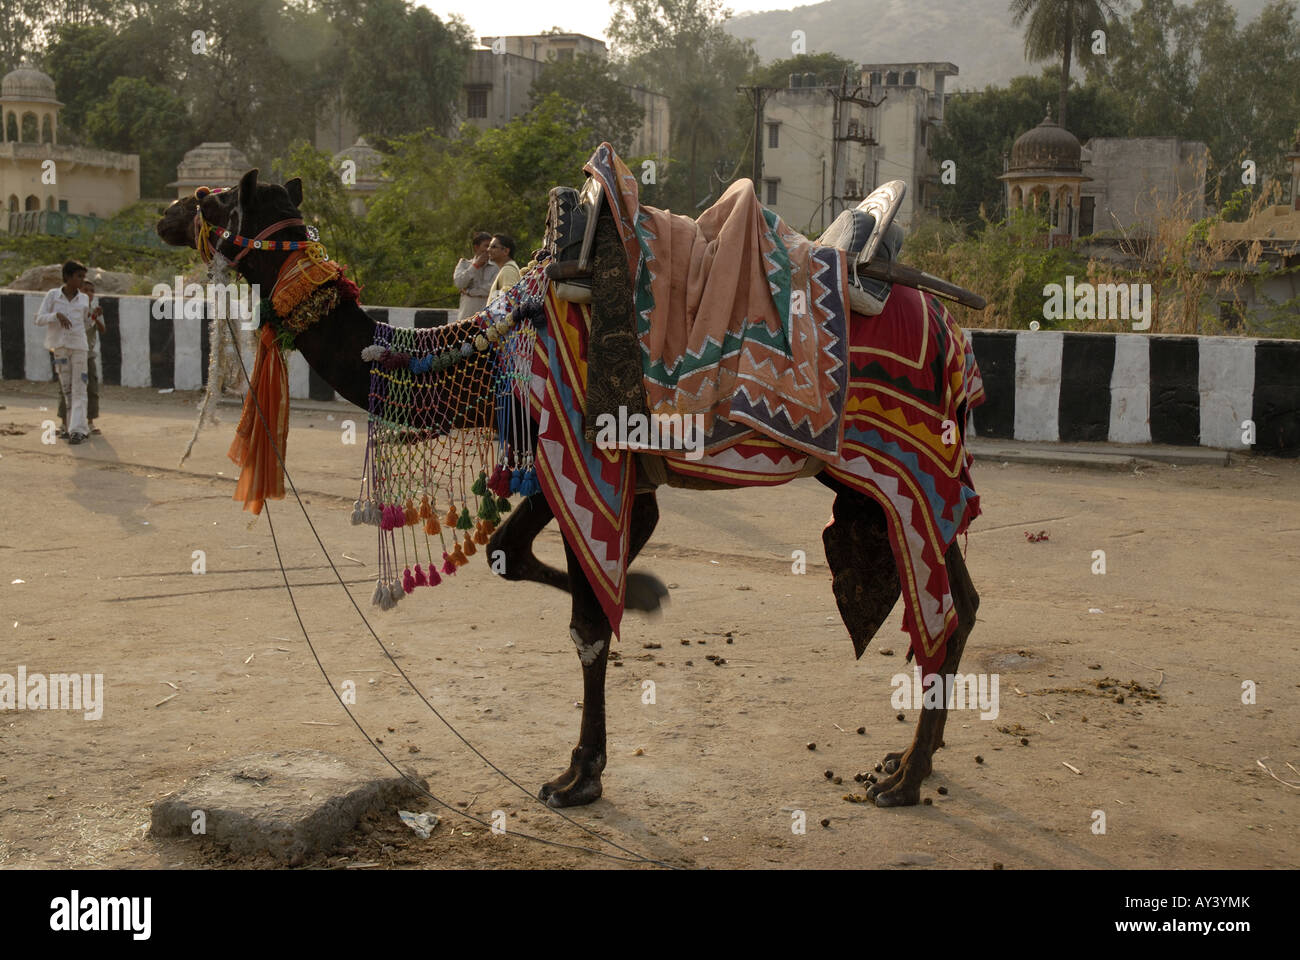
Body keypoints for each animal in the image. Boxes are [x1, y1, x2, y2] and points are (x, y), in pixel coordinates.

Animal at [155, 169, 982, 810]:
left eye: (218, 199)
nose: (166, 211)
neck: (490, 357)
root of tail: (956, 337)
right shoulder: (584, 476)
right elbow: (514, 559)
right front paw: (640, 604)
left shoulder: (591, 461)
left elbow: (587, 618)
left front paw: (578, 776)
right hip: (884, 486)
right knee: (962, 600)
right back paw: (905, 762)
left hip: (901, 467)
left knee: (944, 601)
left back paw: (903, 780)